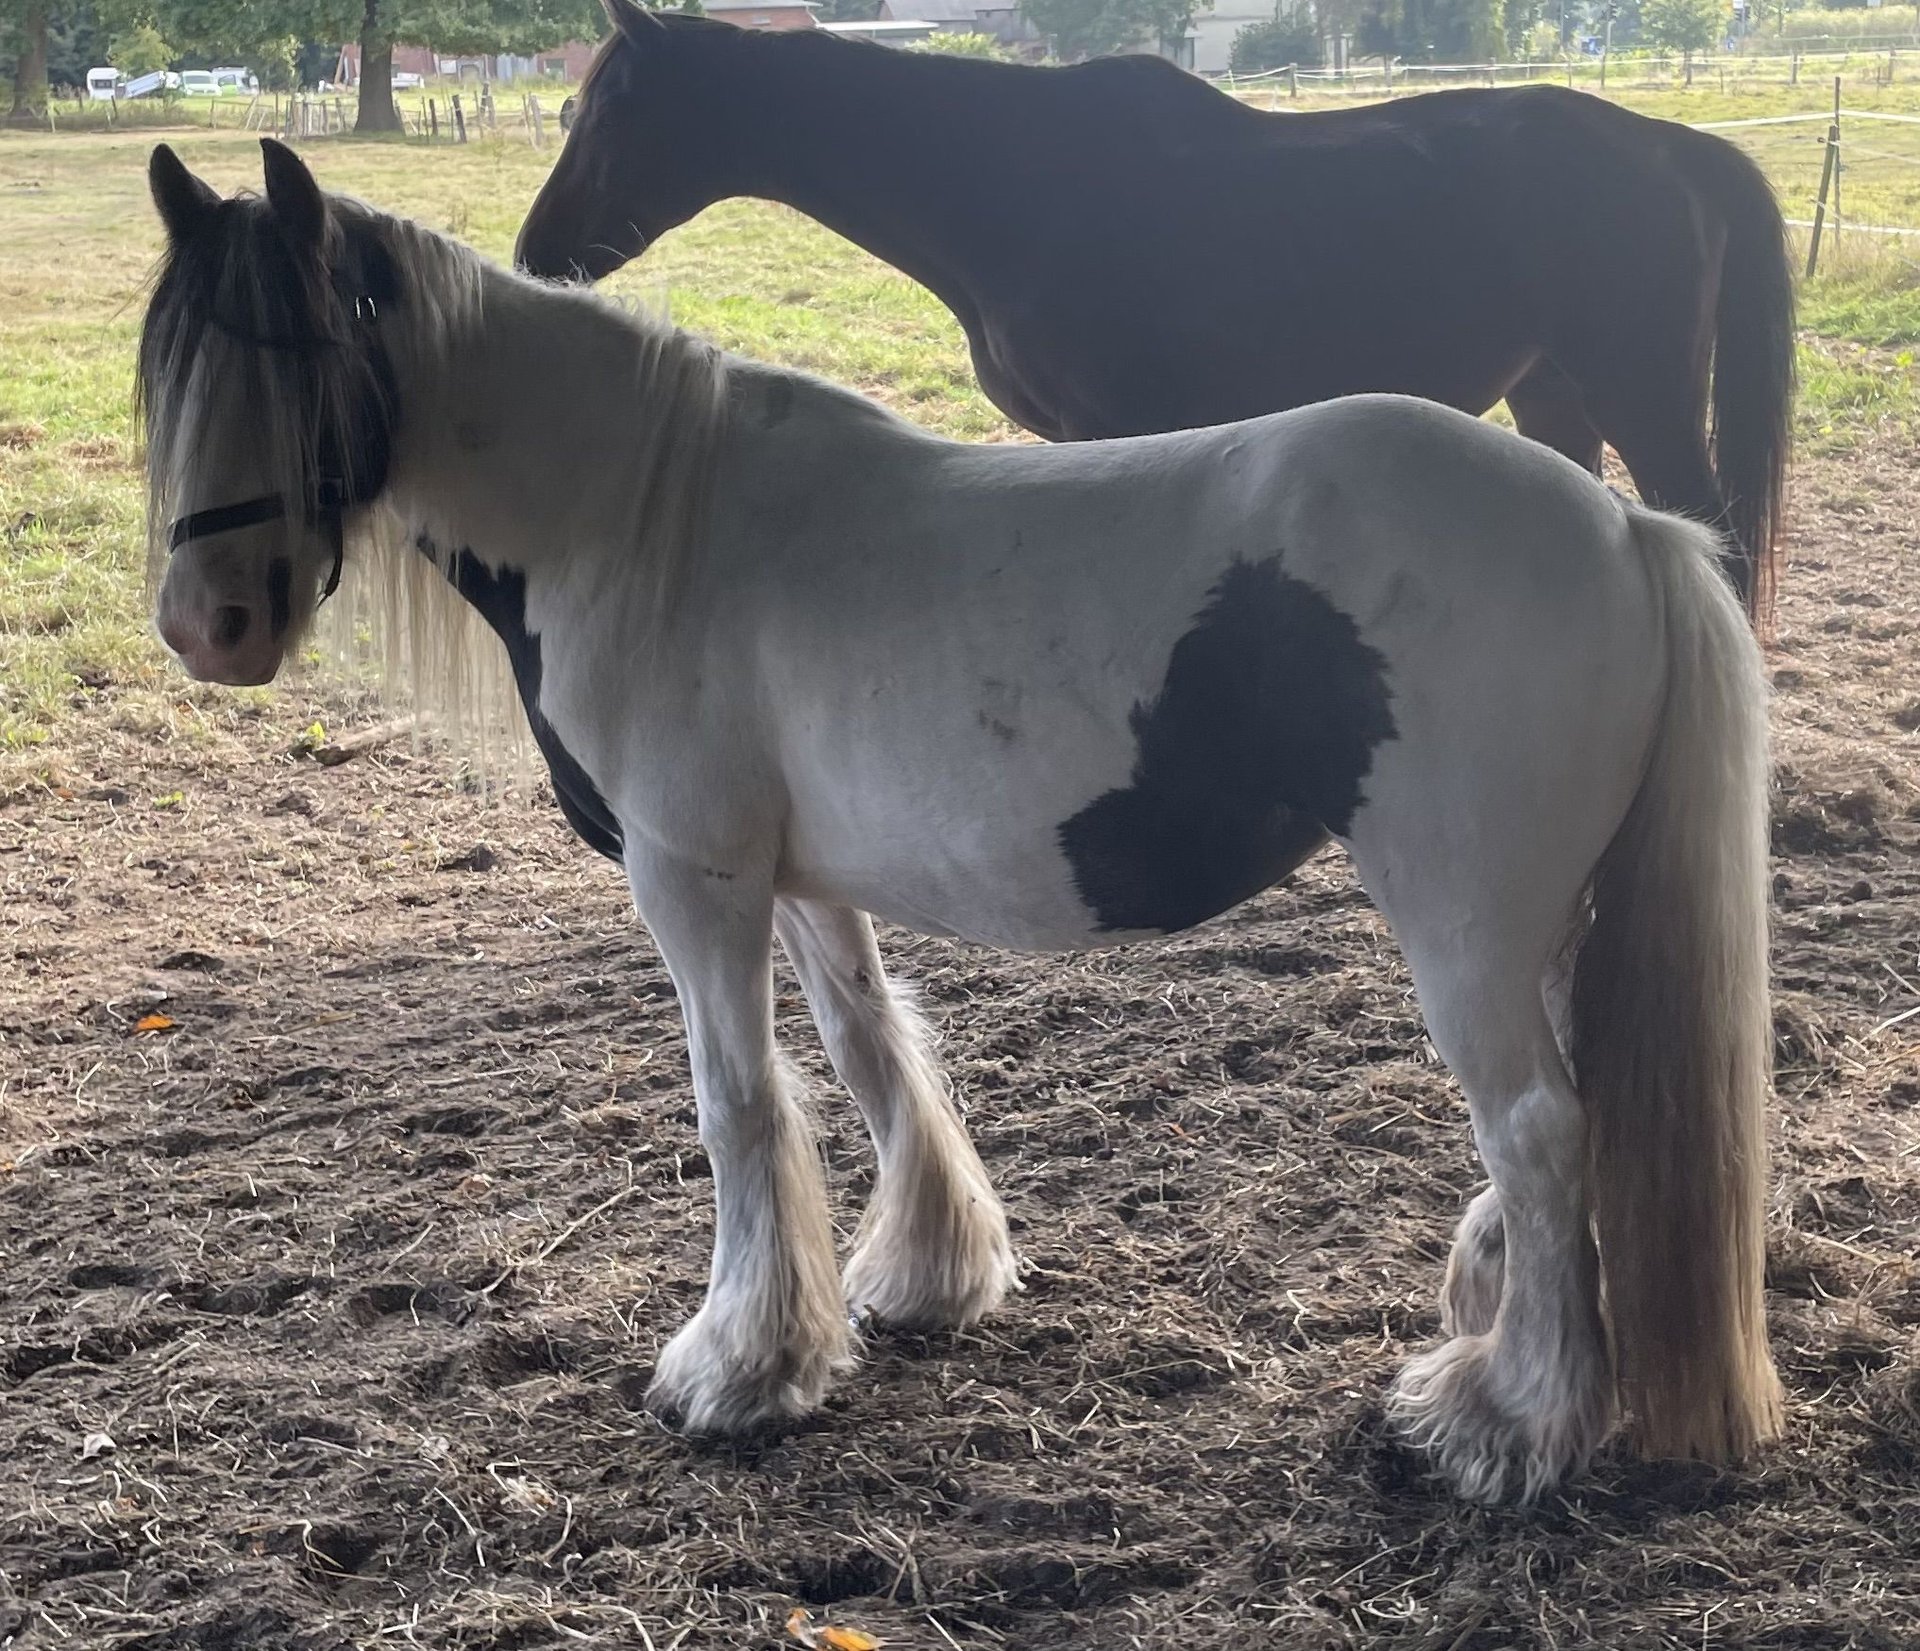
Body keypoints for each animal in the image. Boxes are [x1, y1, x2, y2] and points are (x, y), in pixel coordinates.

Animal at [142, 139, 1781, 1505]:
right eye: (170, 367)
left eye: (298, 355)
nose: (209, 624)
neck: (644, 522)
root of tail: (1624, 525)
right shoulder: (801, 880)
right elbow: (874, 1053)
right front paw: (920, 1275)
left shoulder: (694, 881)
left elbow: (742, 1108)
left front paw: (736, 1369)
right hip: (1544, 921)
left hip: (1467, 925)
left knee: (1541, 1126)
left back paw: (1507, 1419)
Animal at [513, 0, 1795, 625]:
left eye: (609, 105)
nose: (536, 253)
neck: (1011, 186)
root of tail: (1669, 145)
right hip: (1551, 392)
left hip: (1642, 395)